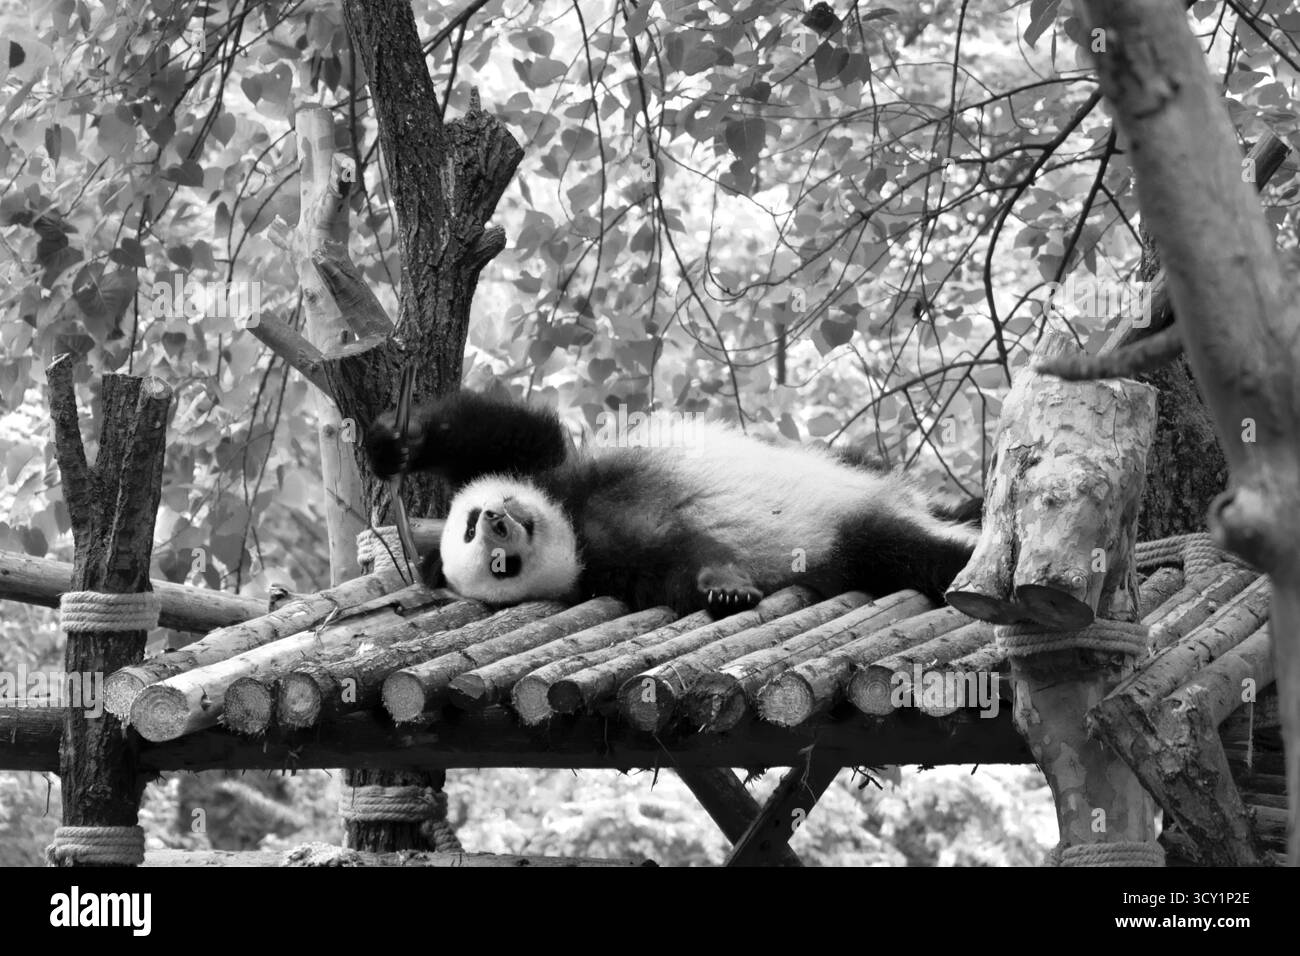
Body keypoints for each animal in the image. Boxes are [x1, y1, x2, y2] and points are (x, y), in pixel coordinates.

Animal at [365, 390, 981, 616]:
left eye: (470, 524)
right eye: (500, 566)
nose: (497, 519)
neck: (571, 522)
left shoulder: (551, 470)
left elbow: (497, 429)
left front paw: (394, 445)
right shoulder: (616, 567)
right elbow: (683, 557)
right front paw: (726, 589)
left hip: (854, 468)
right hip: (858, 544)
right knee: (917, 555)